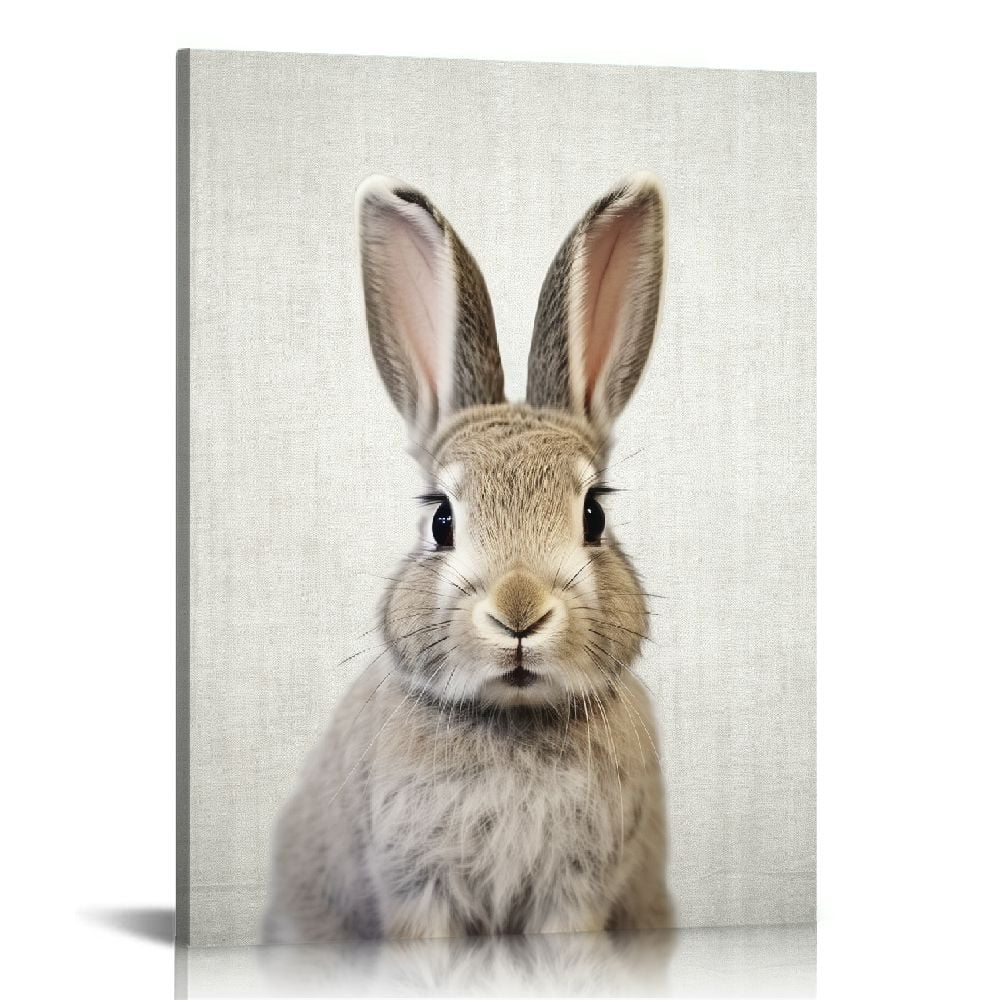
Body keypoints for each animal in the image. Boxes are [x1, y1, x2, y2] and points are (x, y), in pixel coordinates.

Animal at [262, 172, 671, 943]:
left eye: (594, 515)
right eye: (441, 520)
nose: (519, 612)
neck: (513, 719)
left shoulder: (574, 894)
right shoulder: (418, 887)